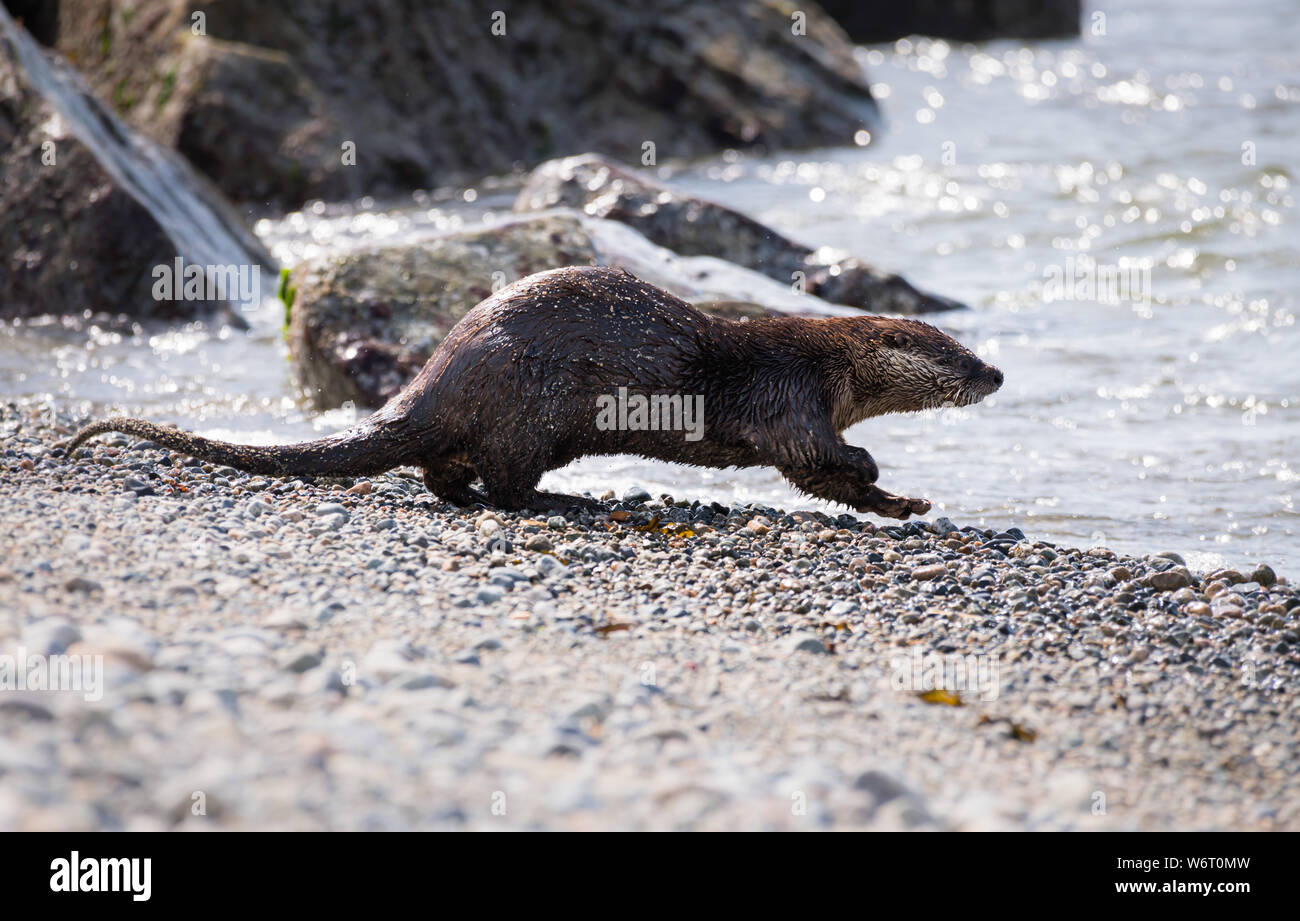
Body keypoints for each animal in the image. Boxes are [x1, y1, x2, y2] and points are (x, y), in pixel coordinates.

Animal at [63, 266, 1003, 519]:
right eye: (956, 354)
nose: (996, 373)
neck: (830, 367)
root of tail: (436, 376)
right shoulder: (791, 394)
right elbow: (812, 454)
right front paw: (876, 465)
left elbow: (828, 480)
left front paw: (906, 503)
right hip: (529, 406)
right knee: (505, 482)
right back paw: (569, 501)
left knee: (440, 470)